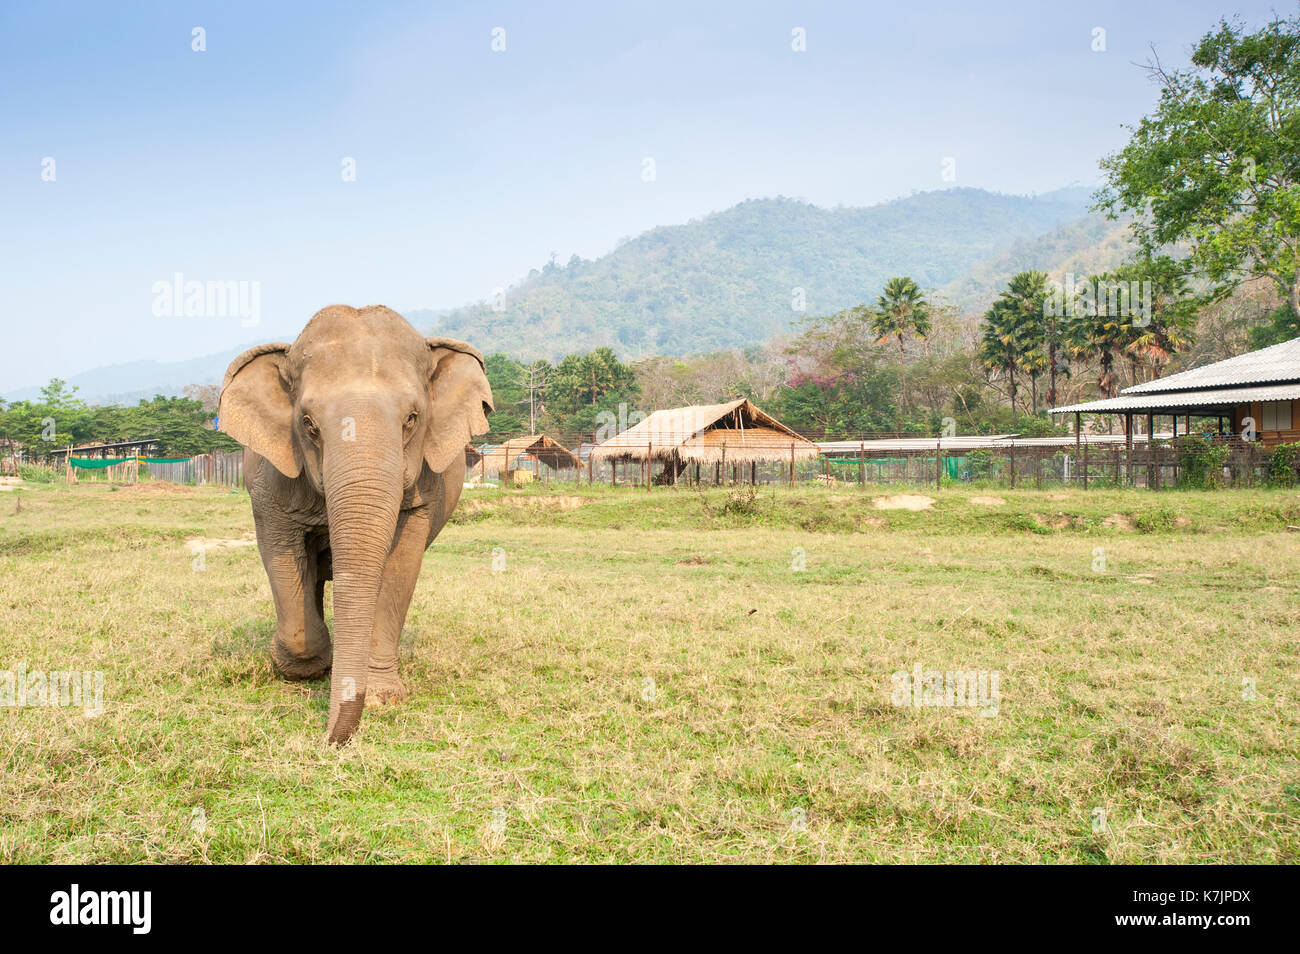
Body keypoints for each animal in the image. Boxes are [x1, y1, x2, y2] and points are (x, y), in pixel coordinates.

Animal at [217, 304, 493, 744]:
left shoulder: (424, 490)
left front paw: (380, 697)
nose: (331, 741)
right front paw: (297, 667)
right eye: (308, 424)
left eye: (412, 419)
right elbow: (281, 548)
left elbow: (400, 566)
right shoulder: (270, 481)